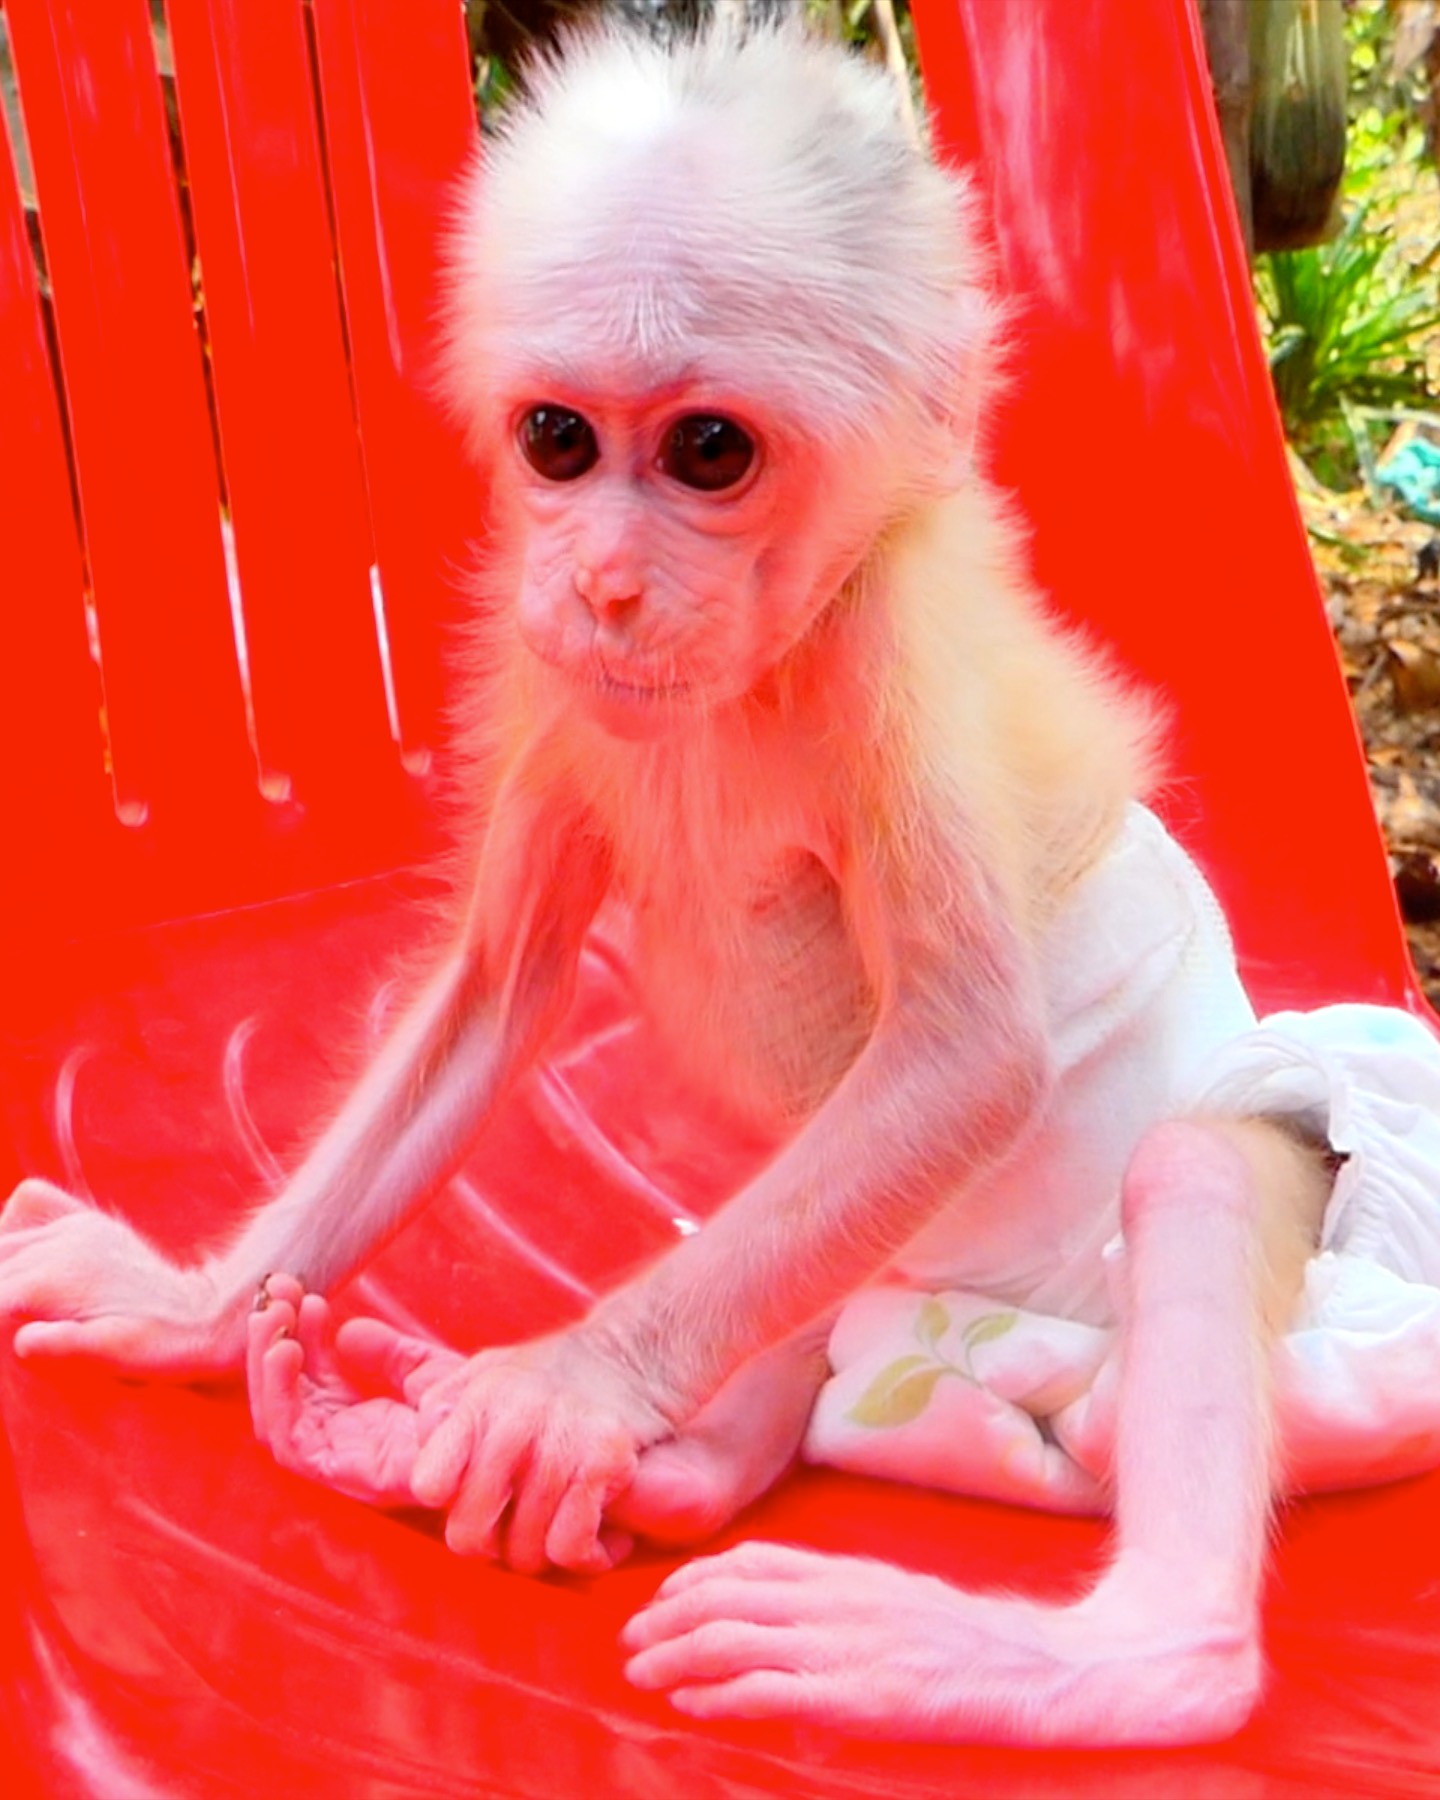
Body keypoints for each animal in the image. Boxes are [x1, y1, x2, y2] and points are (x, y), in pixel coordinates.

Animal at [7, 14, 1440, 1749]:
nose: (610, 583)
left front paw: (565, 1390)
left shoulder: (890, 656)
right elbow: (498, 989)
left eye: (708, 450)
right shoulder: (558, 676)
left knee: (1199, 1176)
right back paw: (666, 1470)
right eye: (559, 439)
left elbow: (970, 1054)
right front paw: (197, 1309)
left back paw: (1097, 1659)